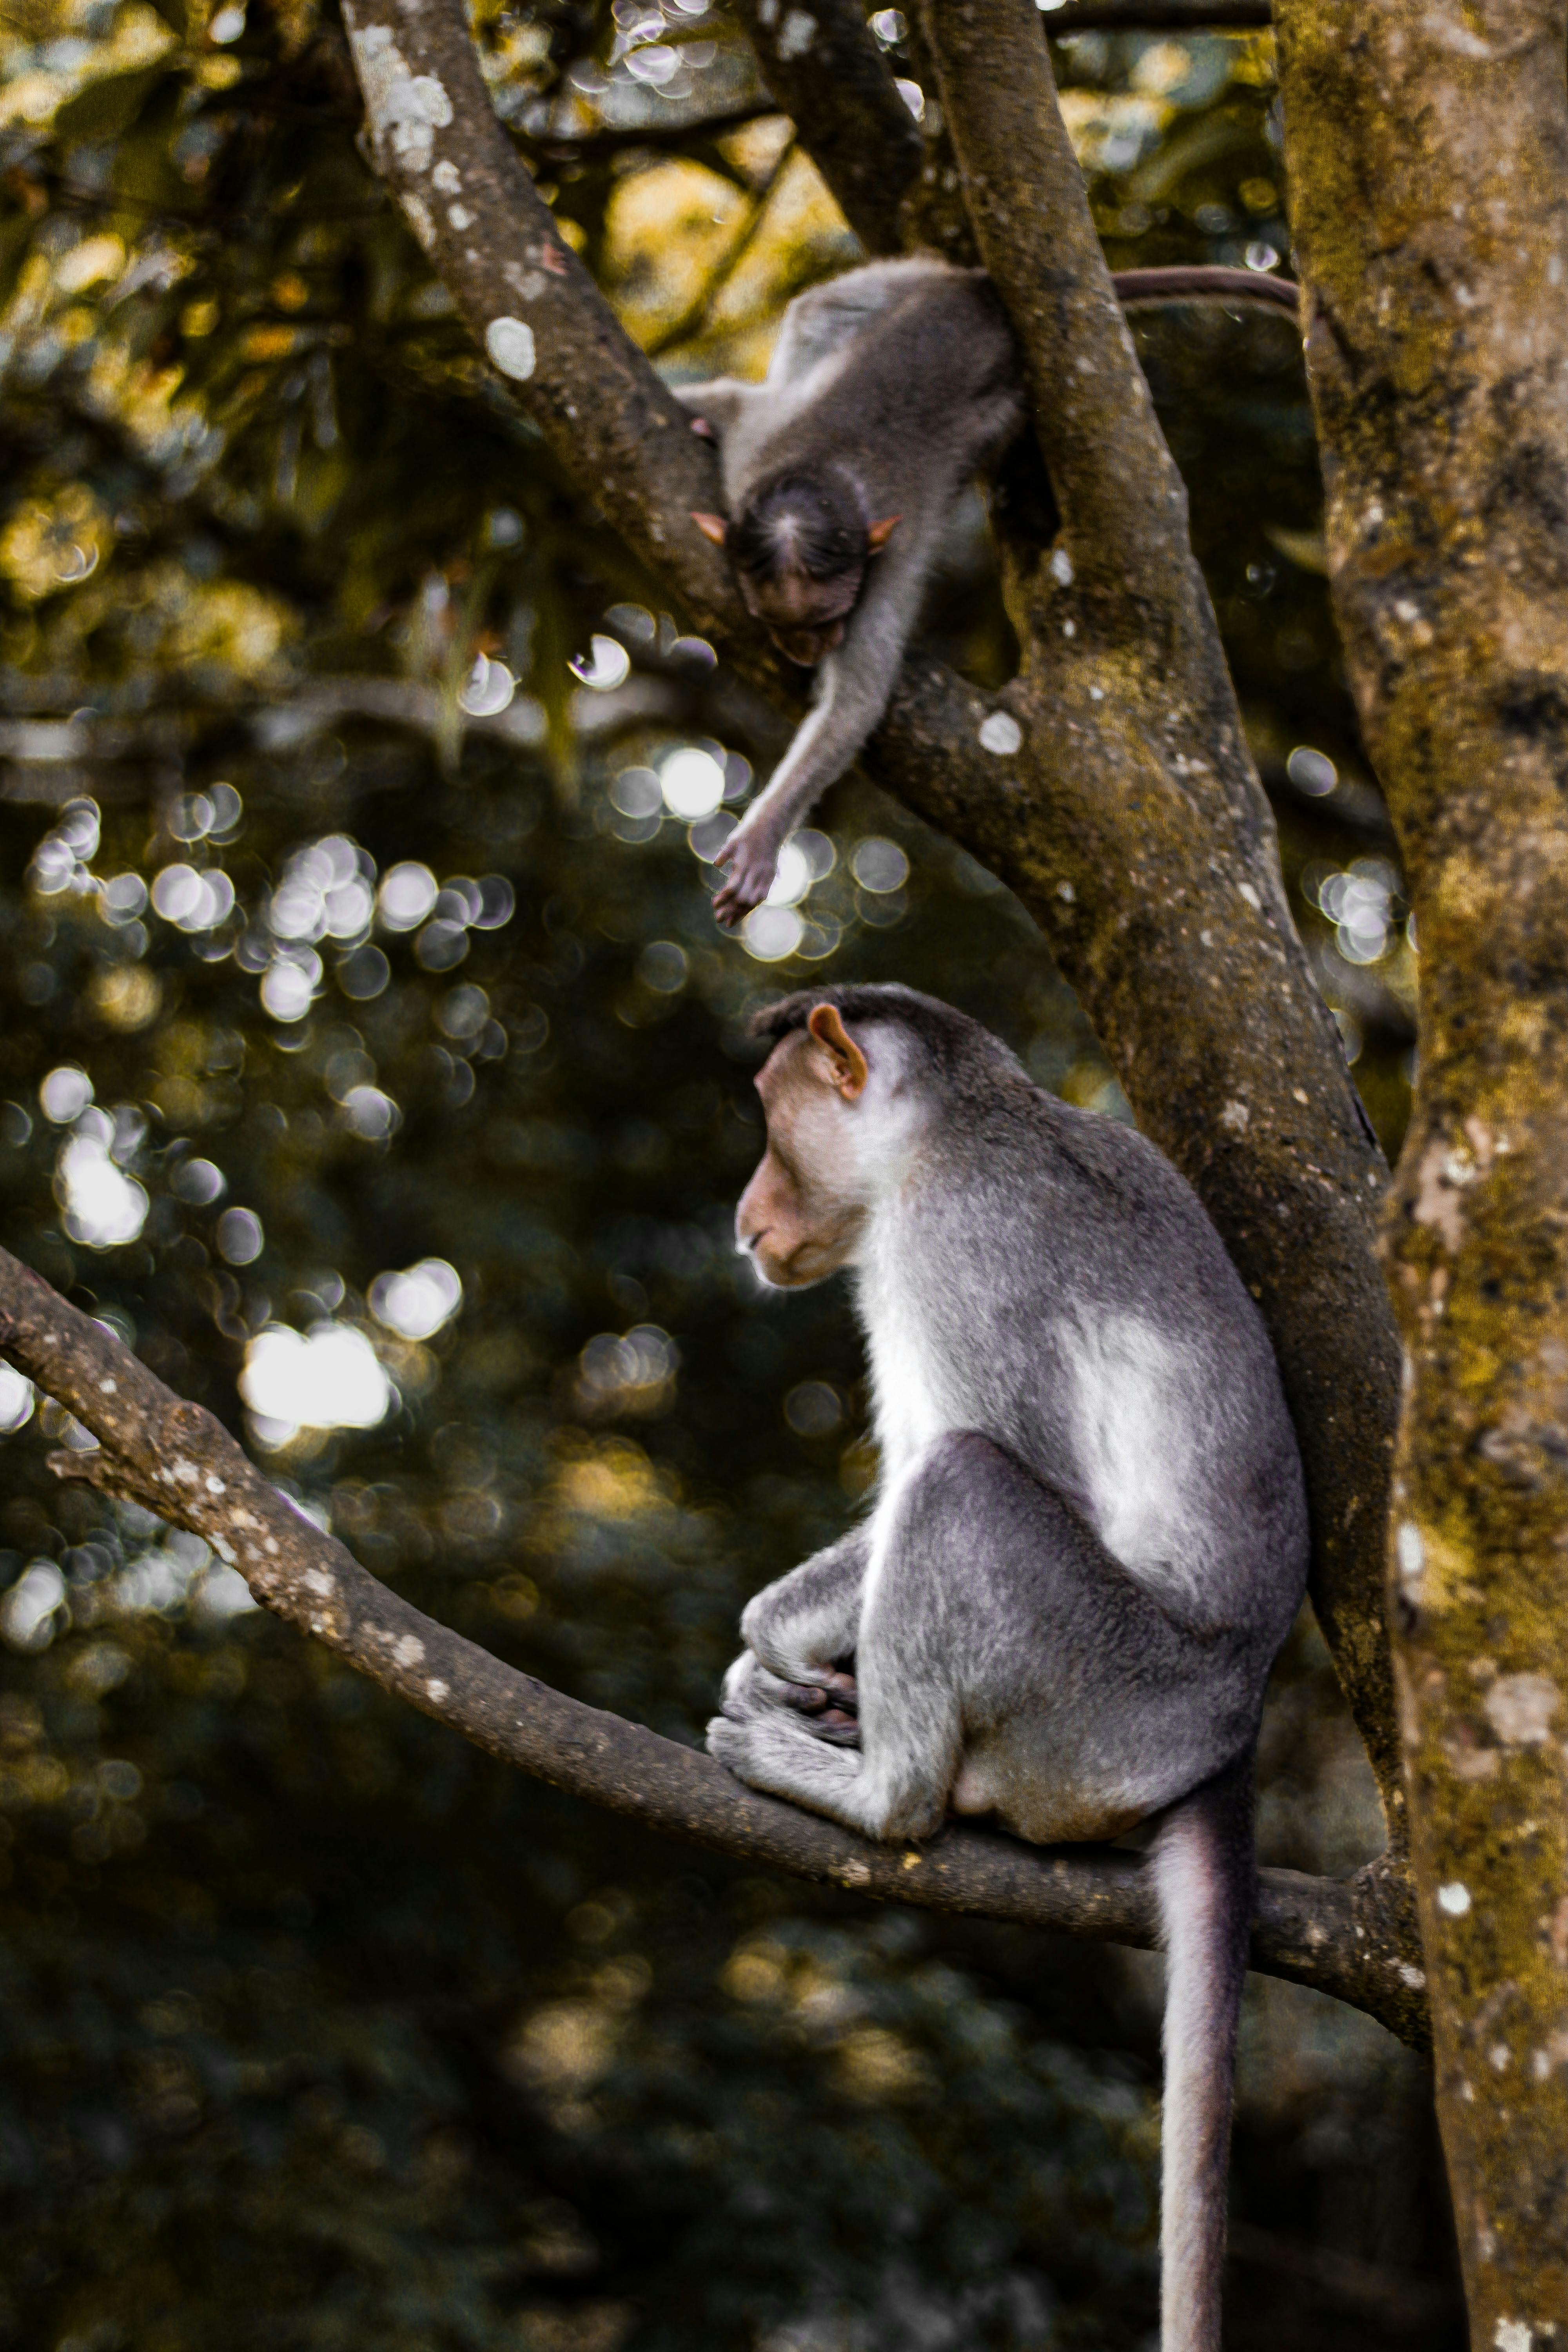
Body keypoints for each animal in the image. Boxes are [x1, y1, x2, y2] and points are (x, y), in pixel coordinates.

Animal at [676, 257, 1300, 928]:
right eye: (780, 625)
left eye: (824, 622)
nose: (804, 652)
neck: (822, 474)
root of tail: (978, 291)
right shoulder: (752, 451)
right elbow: (724, 401)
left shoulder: (885, 567)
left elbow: (856, 706)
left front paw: (764, 835)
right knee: (819, 312)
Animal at [705, 984, 1309, 2352]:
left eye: (772, 1121)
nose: (744, 1216)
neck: (956, 1123)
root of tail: (1227, 1728)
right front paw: (793, 1669)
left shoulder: (951, 1244)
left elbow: (1000, 1459)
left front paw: (771, 1642)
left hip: (1096, 1696)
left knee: (965, 1483)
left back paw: (884, 1791)